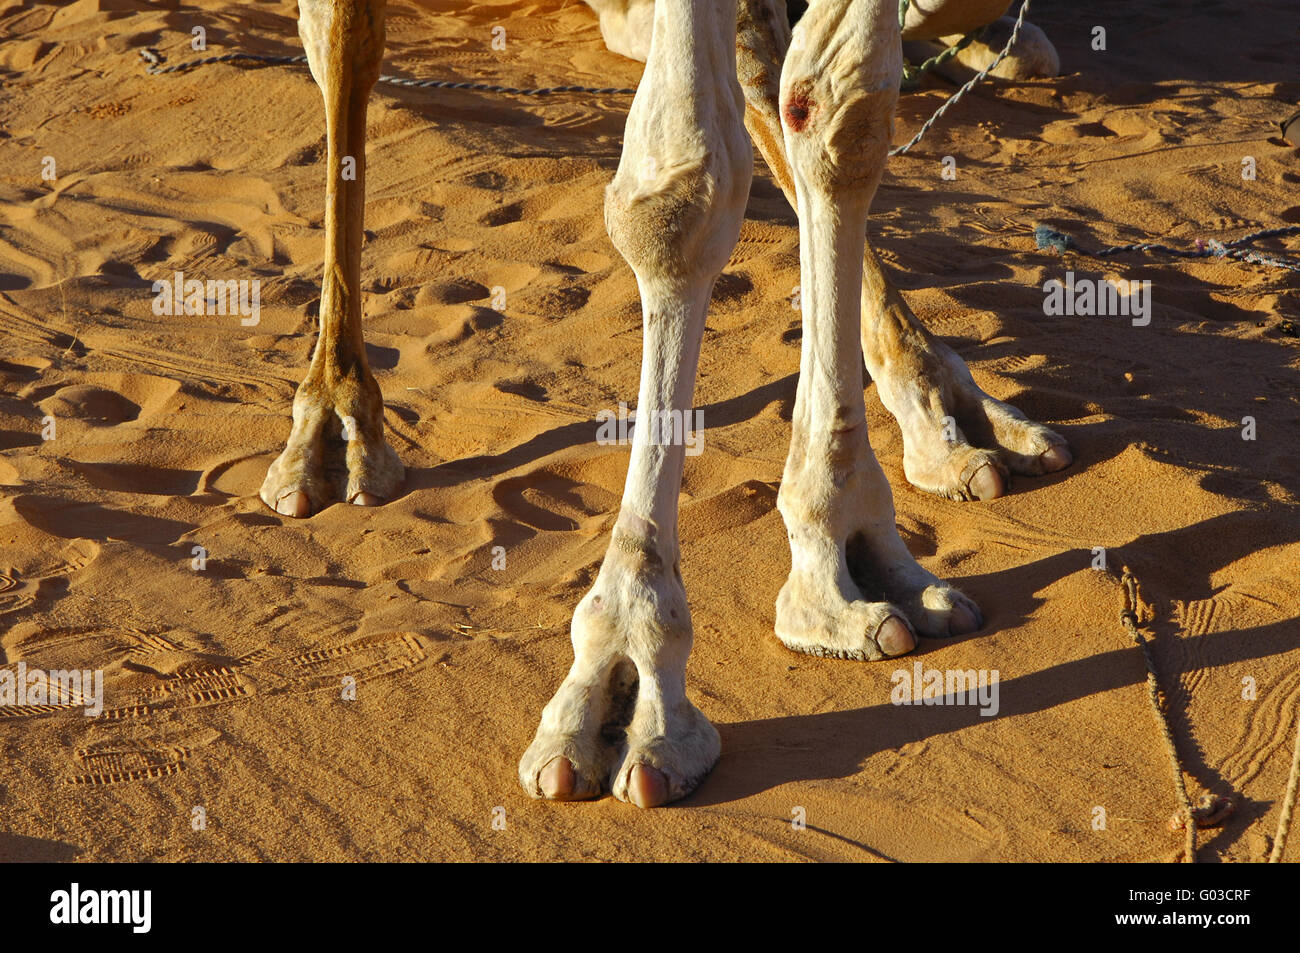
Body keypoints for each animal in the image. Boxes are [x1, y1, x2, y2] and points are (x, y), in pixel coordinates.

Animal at [274, 0, 1070, 809]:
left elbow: (838, 109)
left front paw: (847, 555)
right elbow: (682, 191)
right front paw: (627, 673)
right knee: (342, 39)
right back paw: (334, 421)